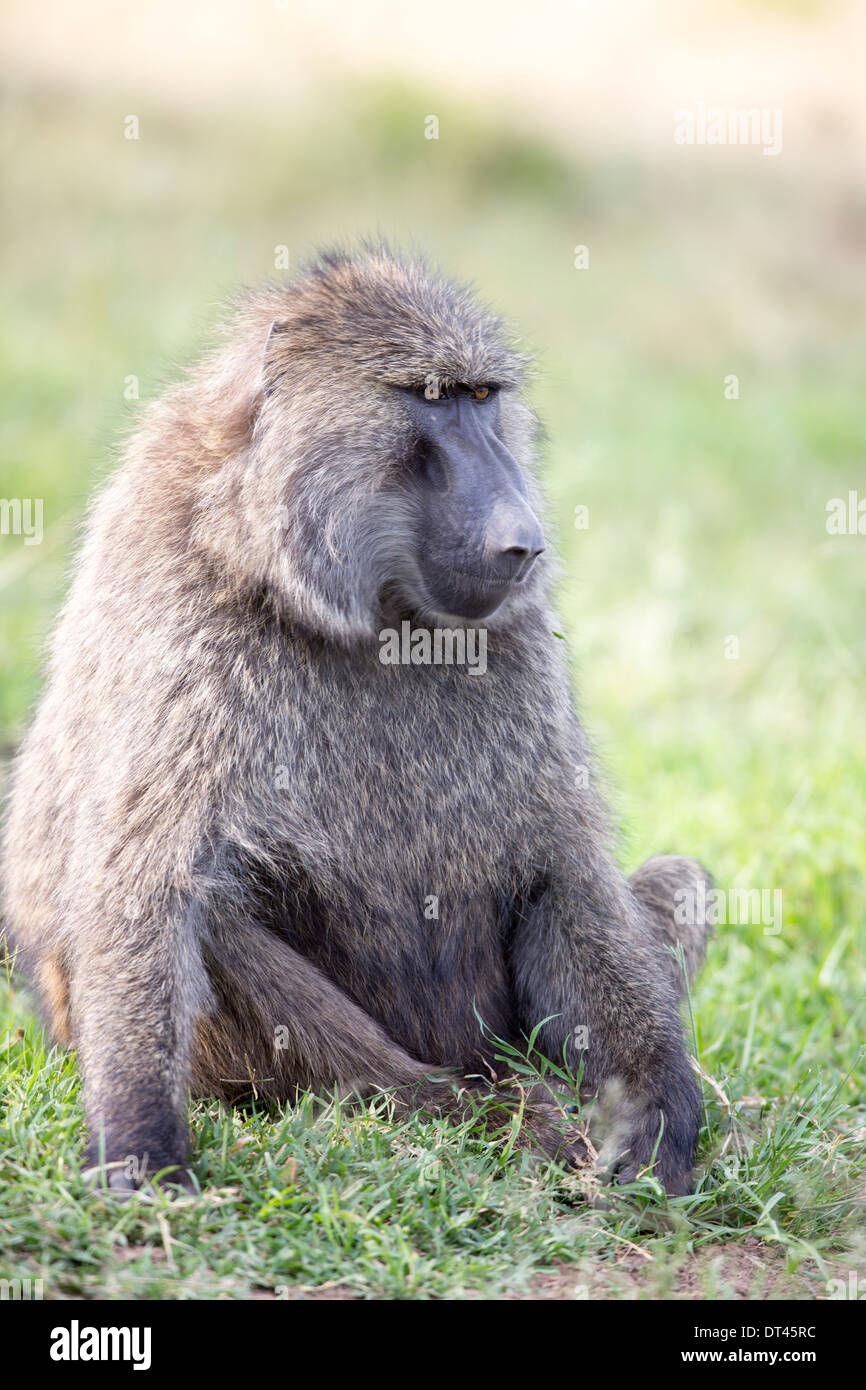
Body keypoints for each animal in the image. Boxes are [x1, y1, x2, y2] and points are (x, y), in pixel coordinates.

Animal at [1, 245, 713, 1198]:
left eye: (483, 396)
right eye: (431, 397)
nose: (524, 541)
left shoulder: (517, 639)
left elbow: (560, 869)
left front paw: (656, 1109)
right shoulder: (177, 602)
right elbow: (143, 881)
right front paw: (140, 1142)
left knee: (681, 880)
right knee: (214, 917)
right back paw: (467, 1109)